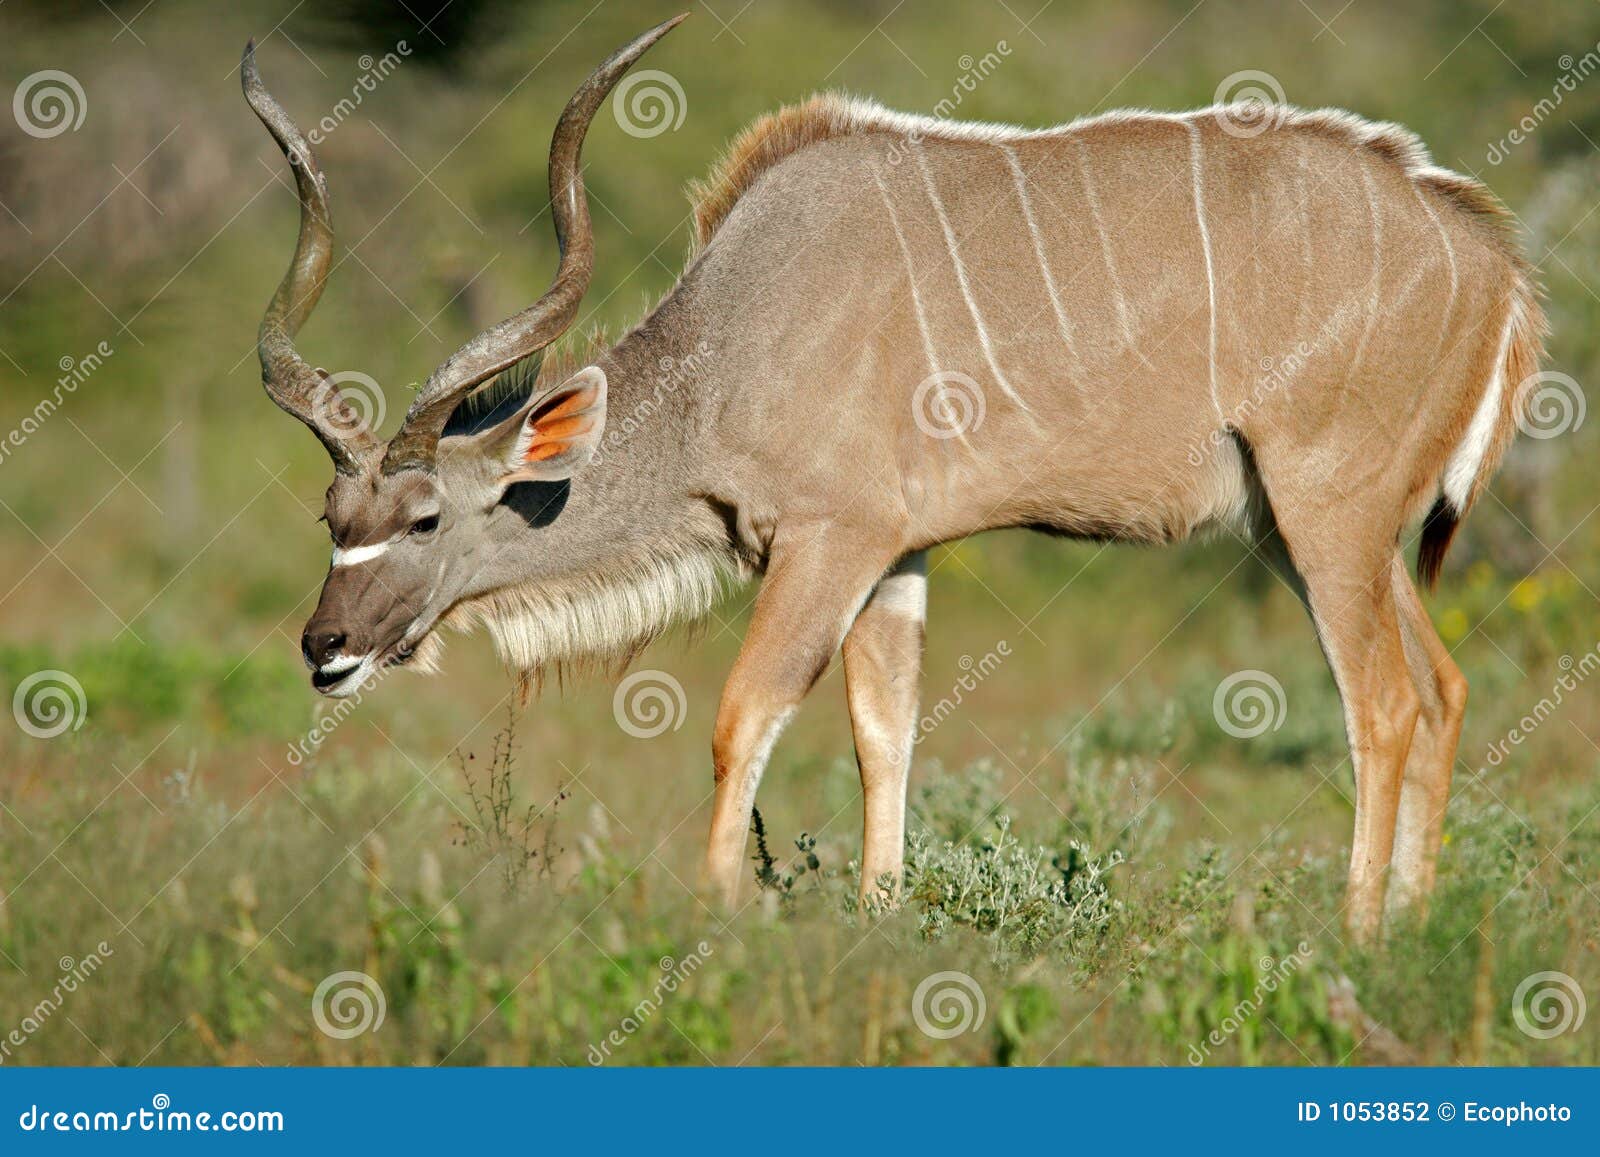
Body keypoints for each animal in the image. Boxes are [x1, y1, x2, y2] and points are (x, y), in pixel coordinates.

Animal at [245, 15, 1544, 939]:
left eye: (423, 516)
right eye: (331, 513)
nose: (325, 647)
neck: (734, 342)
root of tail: (1486, 247)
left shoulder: (831, 537)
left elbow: (743, 712)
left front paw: (721, 915)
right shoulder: (900, 552)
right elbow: (885, 730)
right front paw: (879, 918)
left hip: (1327, 513)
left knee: (1380, 701)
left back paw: (1358, 935)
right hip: (1316, 529)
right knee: (1441, 688)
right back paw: (1416, 921)